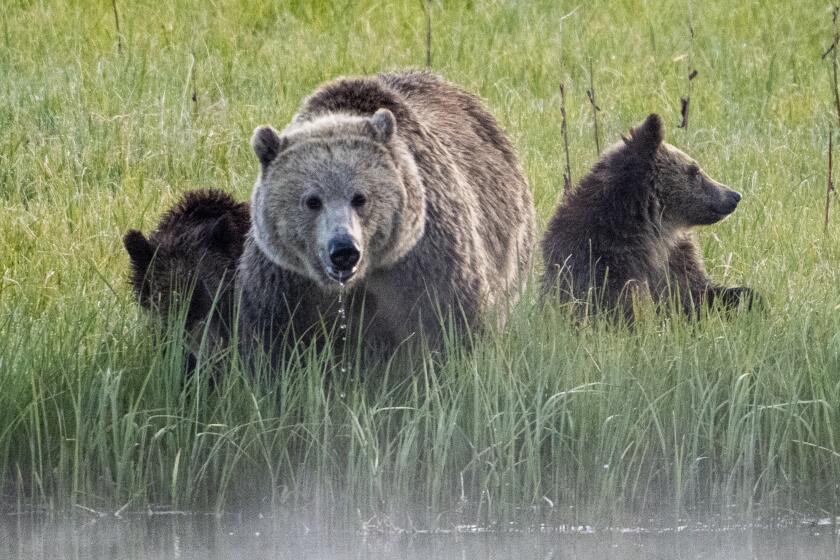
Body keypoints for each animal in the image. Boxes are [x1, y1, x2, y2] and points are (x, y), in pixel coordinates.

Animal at [238, 71, 535, 360]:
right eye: (312, 201)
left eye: (360, 197)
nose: (344, 250)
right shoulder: (286, 280)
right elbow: (273, 338)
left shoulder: (426, 261)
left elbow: (452, 321)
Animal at [540, 113, 757, 320]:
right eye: (694, 170)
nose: (734, 196)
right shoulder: (602, 265)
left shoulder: (675, 260)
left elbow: (699, 294)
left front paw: (750, 300)